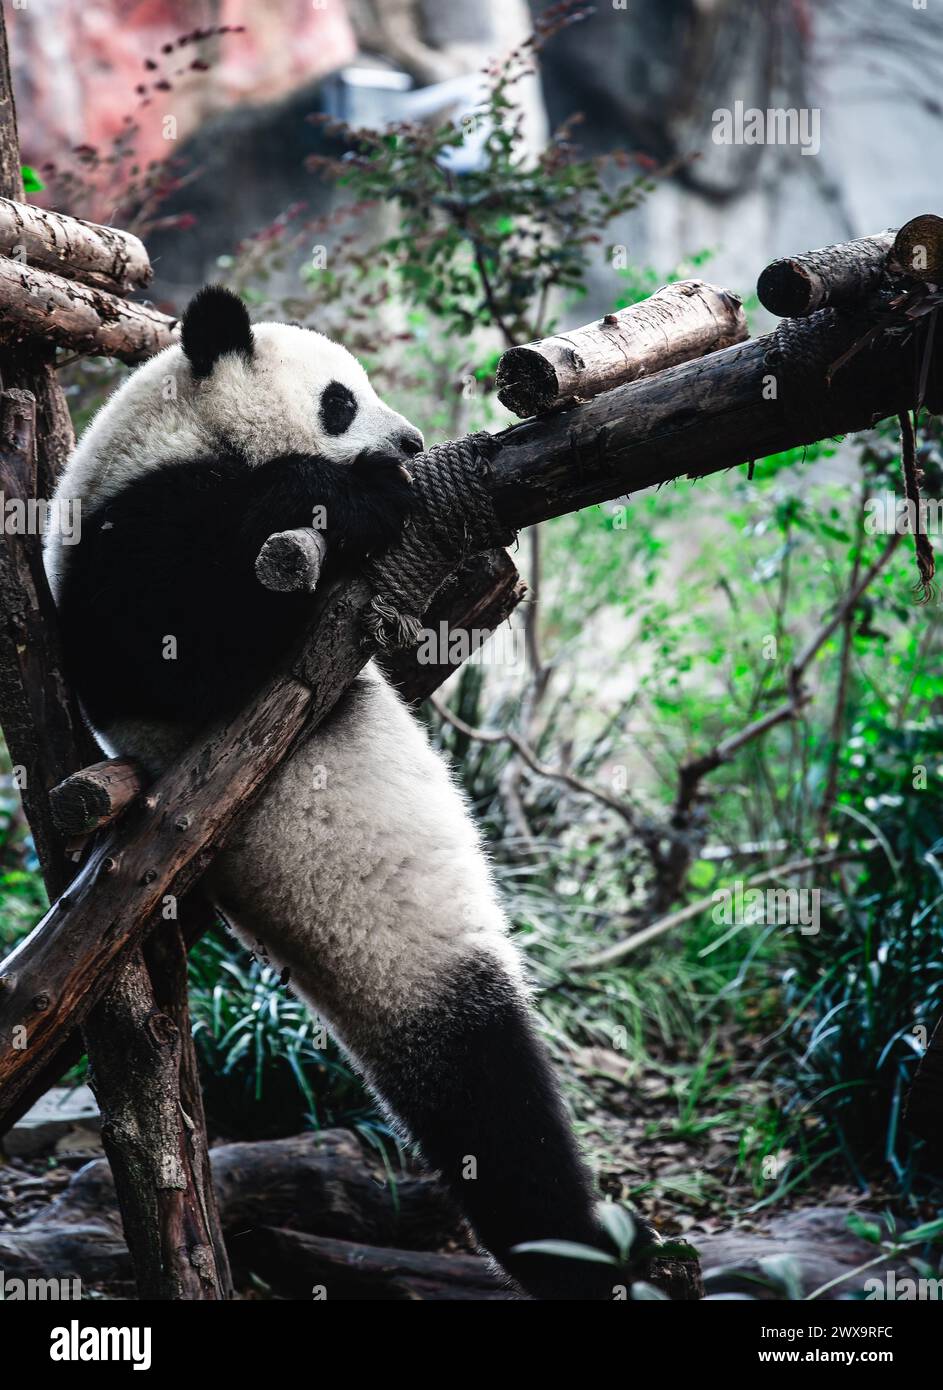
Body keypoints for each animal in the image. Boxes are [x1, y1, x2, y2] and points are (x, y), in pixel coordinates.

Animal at [44, 285, 634, 1301]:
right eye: (339, 400)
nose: (409, 443)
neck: (178, 433)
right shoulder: (126, 539)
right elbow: (173, 638)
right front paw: (349, 499)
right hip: (389, 948)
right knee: (490, 1097)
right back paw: (577, 1252)